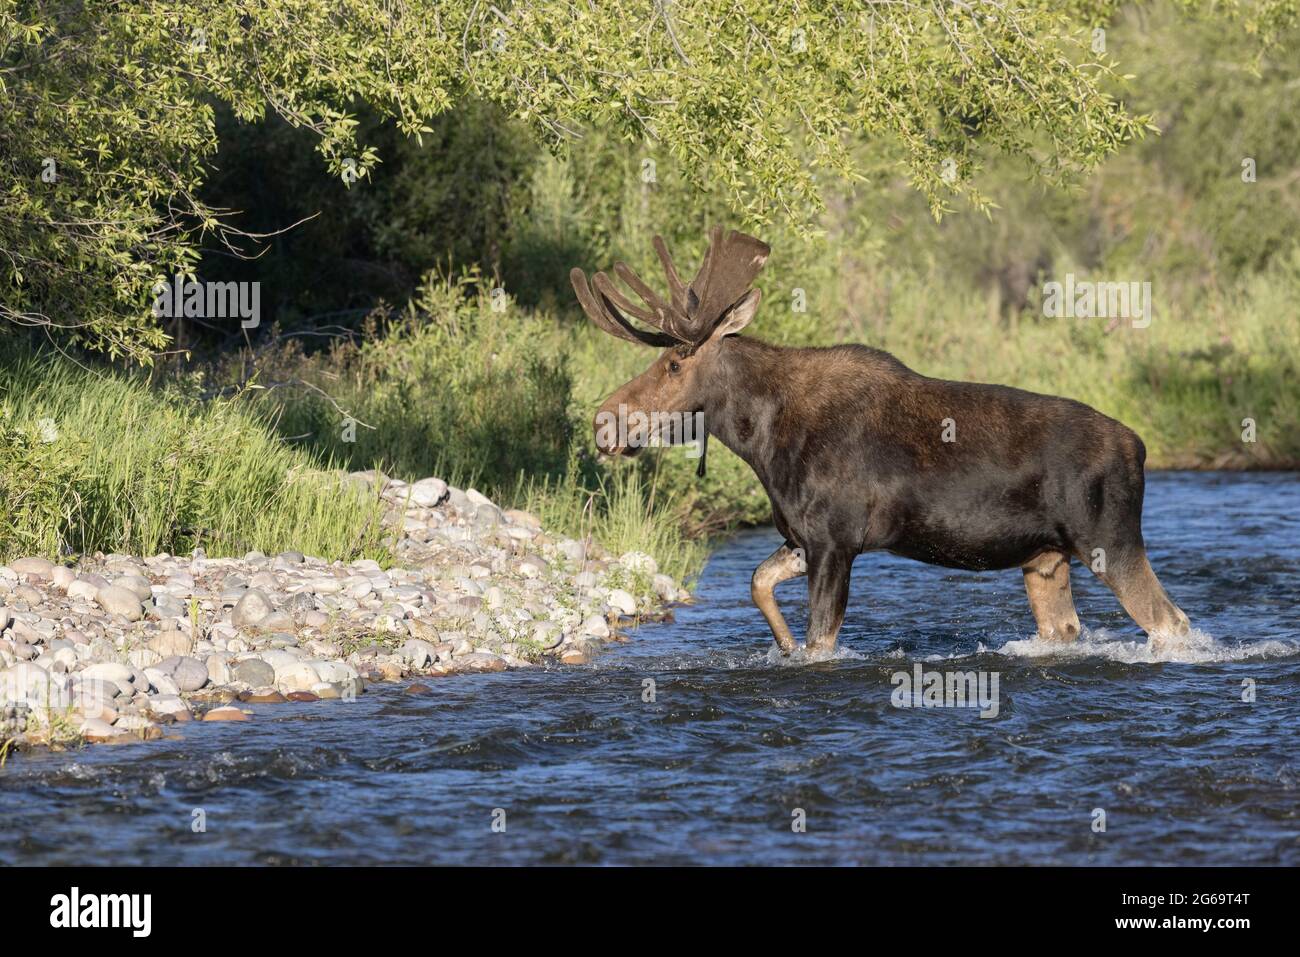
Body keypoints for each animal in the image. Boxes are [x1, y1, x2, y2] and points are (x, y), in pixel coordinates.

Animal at [570, 228, 1192, 657]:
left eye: (675, 363)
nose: (605, 419)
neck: (761, 442)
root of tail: (1139, 446)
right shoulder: (801, 538)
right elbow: (757, 583)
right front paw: (782, 645)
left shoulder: (836, 541)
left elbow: (821, 641)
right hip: (1044, 559)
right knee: (1067, 627)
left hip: (1108, 540)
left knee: (1172, 622)